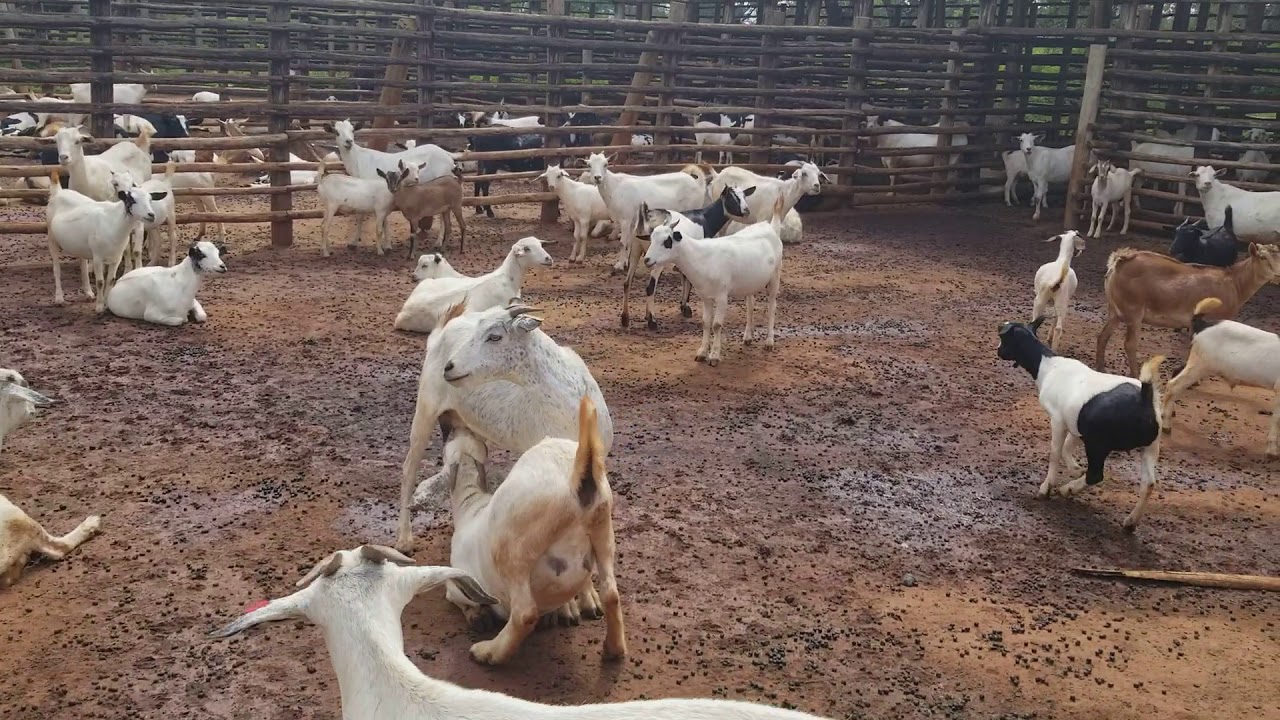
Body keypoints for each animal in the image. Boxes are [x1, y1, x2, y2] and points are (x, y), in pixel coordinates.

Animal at [395, 302, 613, 552]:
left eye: (494, 336)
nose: (449, 367)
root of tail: (439, 333)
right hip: (426, 409)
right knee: (409, 469)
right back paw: (404, 538)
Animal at [414, 398, 624, 664]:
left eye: (448, 440)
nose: (451, 420)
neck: (471, 505)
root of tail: (577, 476)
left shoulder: (457, 584)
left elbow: (462, 600)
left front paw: (478, 617)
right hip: (603, 529)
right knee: (611, 592)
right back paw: (613, 649)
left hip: (513, 548)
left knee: (525, 613)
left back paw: (489, 652)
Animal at [642, 196, 786, 366]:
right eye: (651, 239)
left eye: (667, 241)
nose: (647, 260)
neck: (701, 256)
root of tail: (771, 227)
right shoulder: (706, 297)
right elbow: (705, 322)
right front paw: (702, 353)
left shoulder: (722, 296)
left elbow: (716, 325)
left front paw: (714, 356)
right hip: (750, 282)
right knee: (750, 306)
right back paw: (747, 337)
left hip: (775, 276)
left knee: (772, 306)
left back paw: (769, 341)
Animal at [998, 319, 1165, 531]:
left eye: (1003, 337)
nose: (998, 352)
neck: (1048, 366)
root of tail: (1144, 398)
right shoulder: (1075, 424)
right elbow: (1067, 448)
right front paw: (1075, 468)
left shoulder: (1058, 420)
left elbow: (1055, 452)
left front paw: (1046, 488)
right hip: (1151, 446)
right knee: (1149, 483)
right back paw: (1130, 522)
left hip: (1098, 444)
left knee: (1095, 475)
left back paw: (1067, 489)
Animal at [1096, 243, 1280, 376]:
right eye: (1262, 257)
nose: (1278, 274)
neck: (1235, 283)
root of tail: (1118, 261)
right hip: (1133, 311)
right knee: (1129, 344)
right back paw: (1135, 374)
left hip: (1115, 311)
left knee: (1103, 335)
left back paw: (1100, 368)